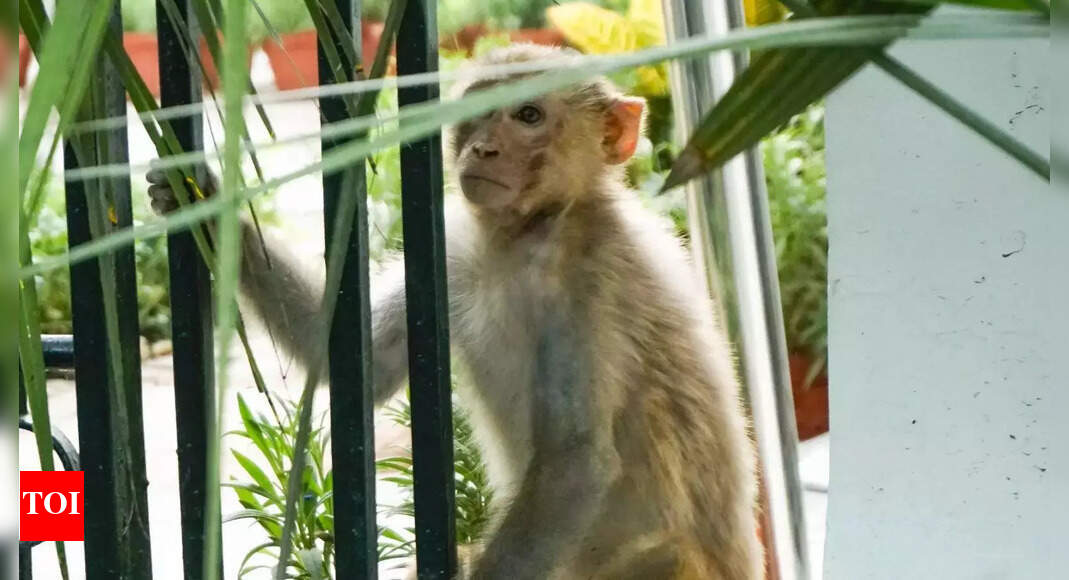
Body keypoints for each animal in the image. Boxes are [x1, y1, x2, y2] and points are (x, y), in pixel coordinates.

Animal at [148, 44, 763, 580]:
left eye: (529, 115)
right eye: (478, 114)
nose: (484, 147)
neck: (527, 236)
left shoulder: (592, 277)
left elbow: (576, 462)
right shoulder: (452, 251)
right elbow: (350, 359)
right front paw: (201, 200)